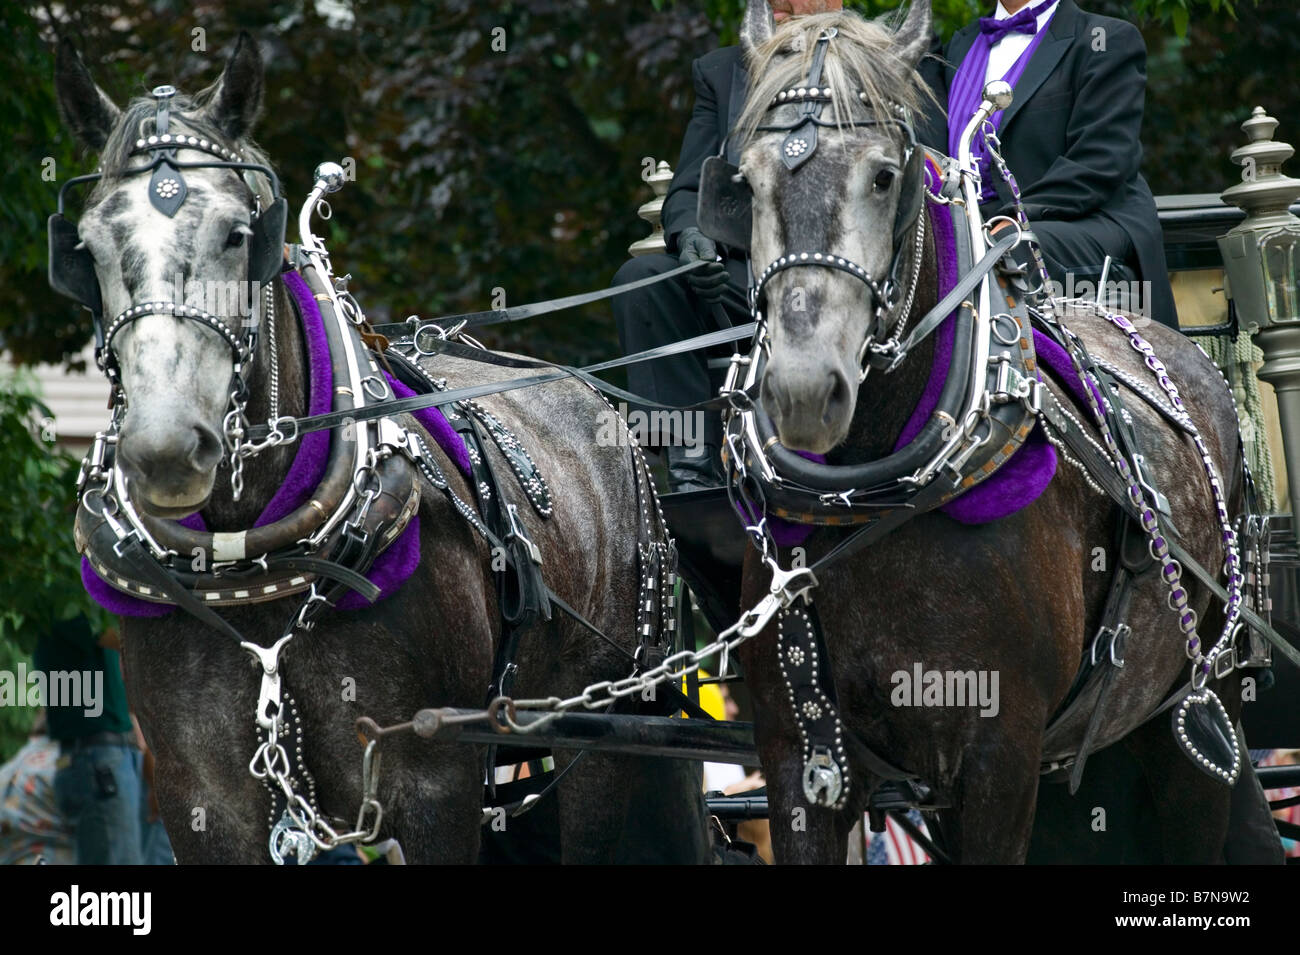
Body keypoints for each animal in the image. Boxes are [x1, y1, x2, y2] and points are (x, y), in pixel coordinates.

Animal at [53, 33, 710, 864]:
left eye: (238, 234)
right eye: (86, 248)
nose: (165, 448)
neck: (255, 564)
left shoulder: (433, 778)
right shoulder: (199, 794)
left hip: (607, 726)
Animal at [729, 1, 1268, 864]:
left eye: (884, 175)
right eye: (745, 181)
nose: (805, 390)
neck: (870, 502)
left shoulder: (1000, 756)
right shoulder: (798, 757)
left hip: (1194, 709)